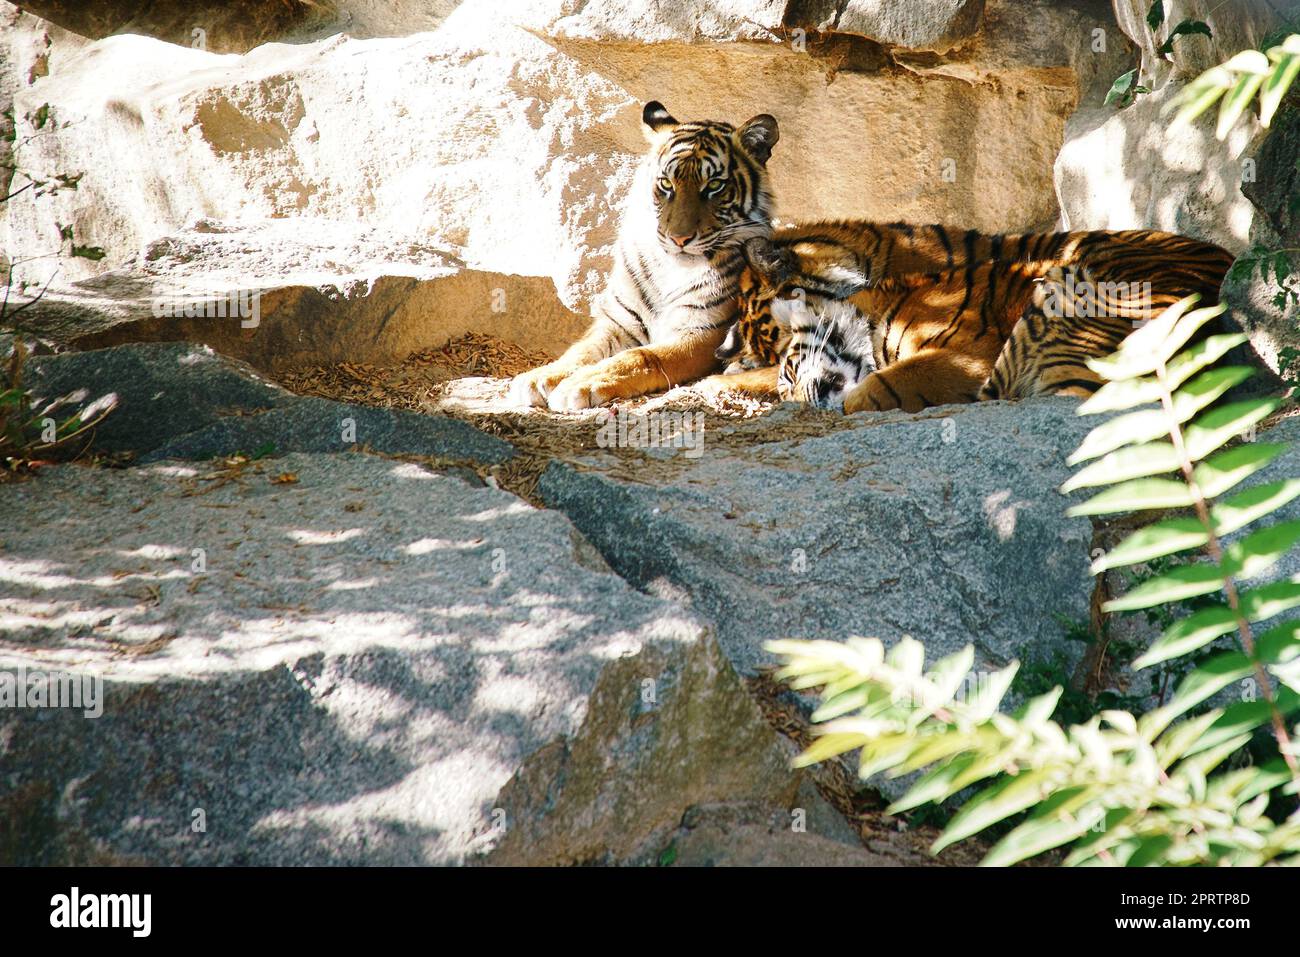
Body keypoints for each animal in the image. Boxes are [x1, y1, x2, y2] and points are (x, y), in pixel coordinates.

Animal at [508, 100, 780, 411]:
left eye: (714, 186)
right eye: (666, 184)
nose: (679, 238)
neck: (671, 271)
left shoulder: (703, 331)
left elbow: (642, 356)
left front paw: (582, 383)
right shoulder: (619, 321)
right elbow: (582, 350)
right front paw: (541, 376)